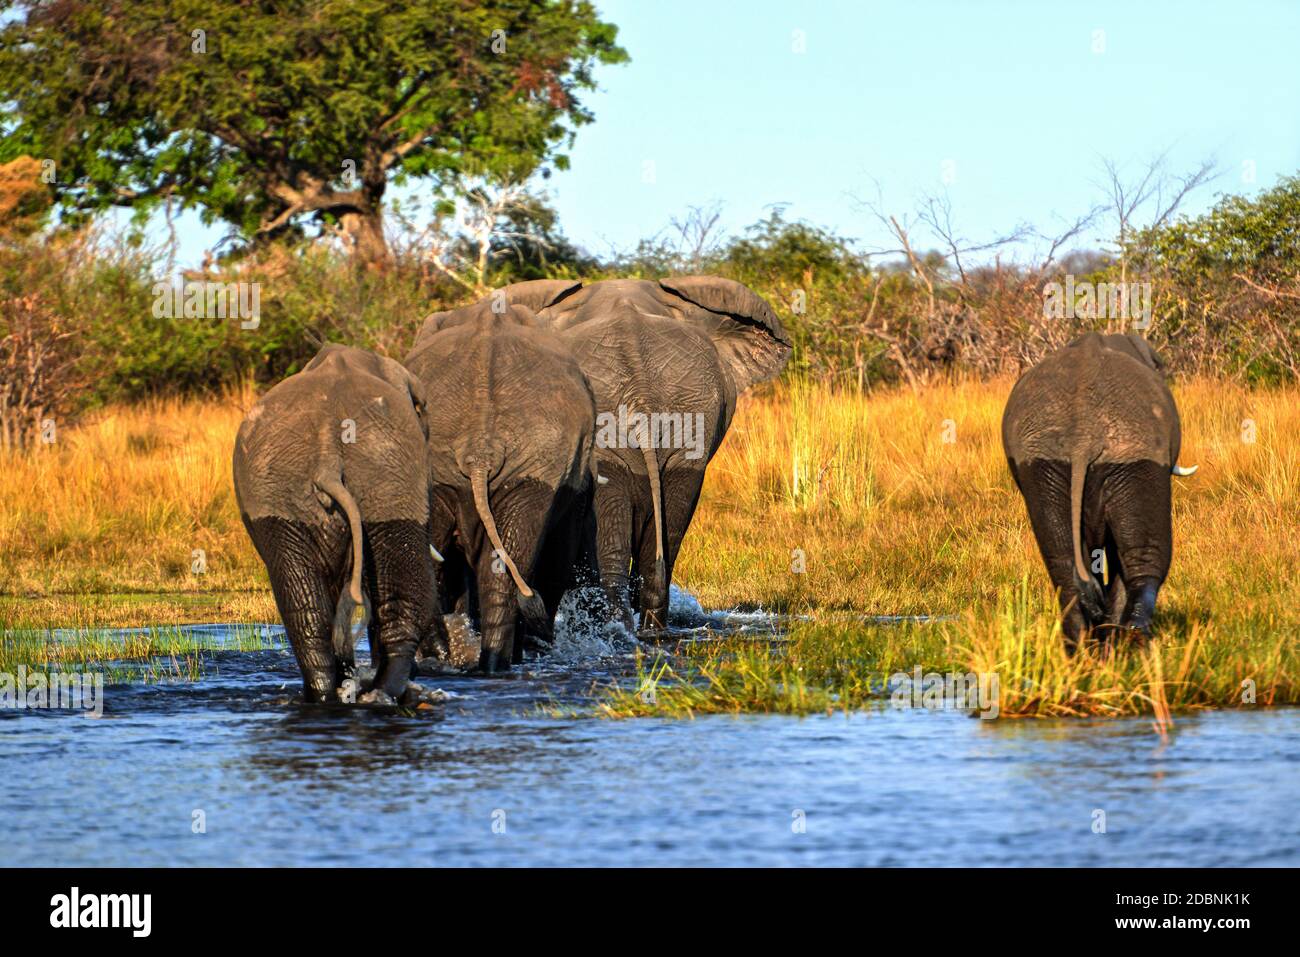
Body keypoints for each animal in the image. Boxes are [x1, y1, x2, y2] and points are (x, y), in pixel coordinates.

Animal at [233, 343, 445, 703]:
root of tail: (327, 457)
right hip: (391, 476)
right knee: (404, 592)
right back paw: (385, 692)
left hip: (276, 491)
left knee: (304, 606)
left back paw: (326, 693)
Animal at [1001, 332, 1198, 650]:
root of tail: (1083, 435)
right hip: (1135, 456)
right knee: (1144, 556)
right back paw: (1130, 642)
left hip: (1043, 463)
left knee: (1063, 562)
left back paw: (1081, 648)